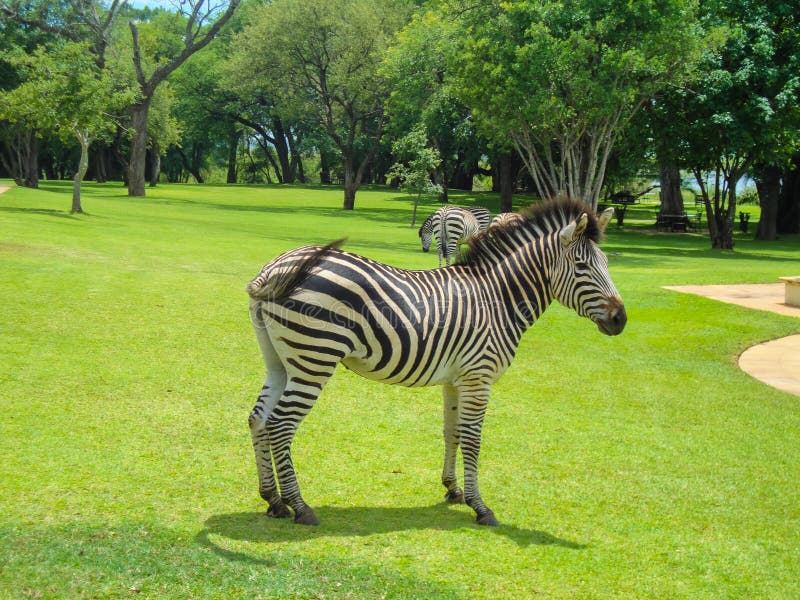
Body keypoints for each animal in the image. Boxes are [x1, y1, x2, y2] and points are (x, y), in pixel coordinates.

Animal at [247, 197, 626, 527]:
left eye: (607, 264)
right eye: (582, 266)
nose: (621, 320)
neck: (498, 298)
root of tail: (274, 268)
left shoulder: (456, 380)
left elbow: (452, 432)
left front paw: (453, 489)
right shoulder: (478, 377)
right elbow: (473, 438)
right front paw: (480, 506)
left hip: (280, 362)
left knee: (259, 419)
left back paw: (273, 500)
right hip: (315, 359)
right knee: (281, 425)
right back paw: (299, 505)